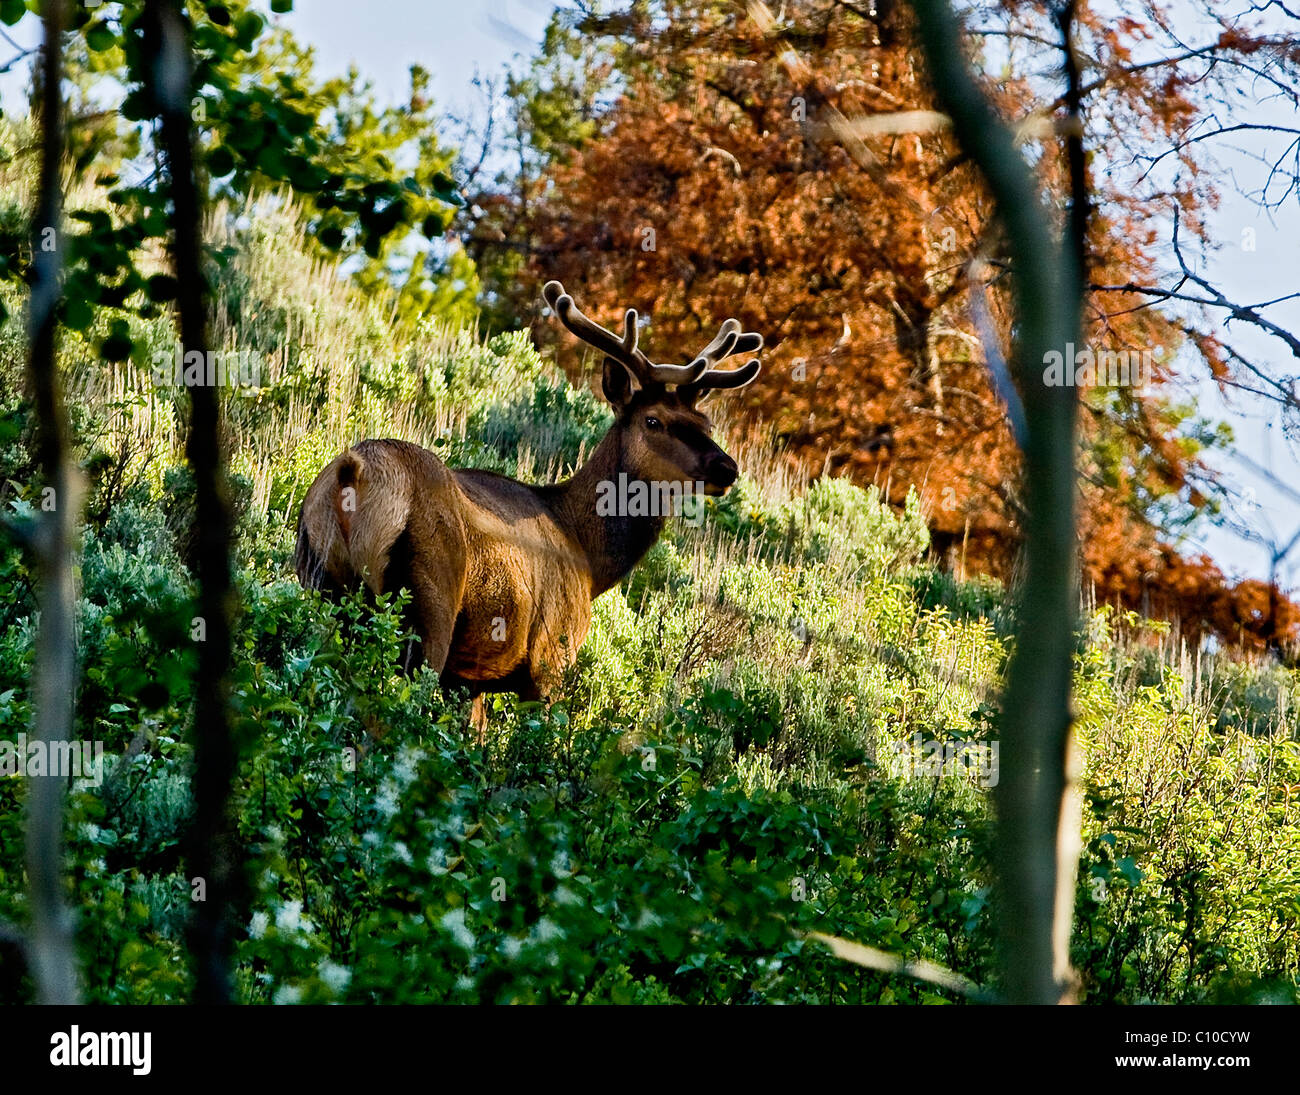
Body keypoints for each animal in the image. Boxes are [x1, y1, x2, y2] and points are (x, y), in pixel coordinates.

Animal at [294, 281, 763, 731]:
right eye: (654, 421)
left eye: (706, 423)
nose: (726, 467)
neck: (589, 560)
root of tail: (355, 473)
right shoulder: (551, 656)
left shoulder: (469, 678)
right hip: (427, 598)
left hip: (319, 582)